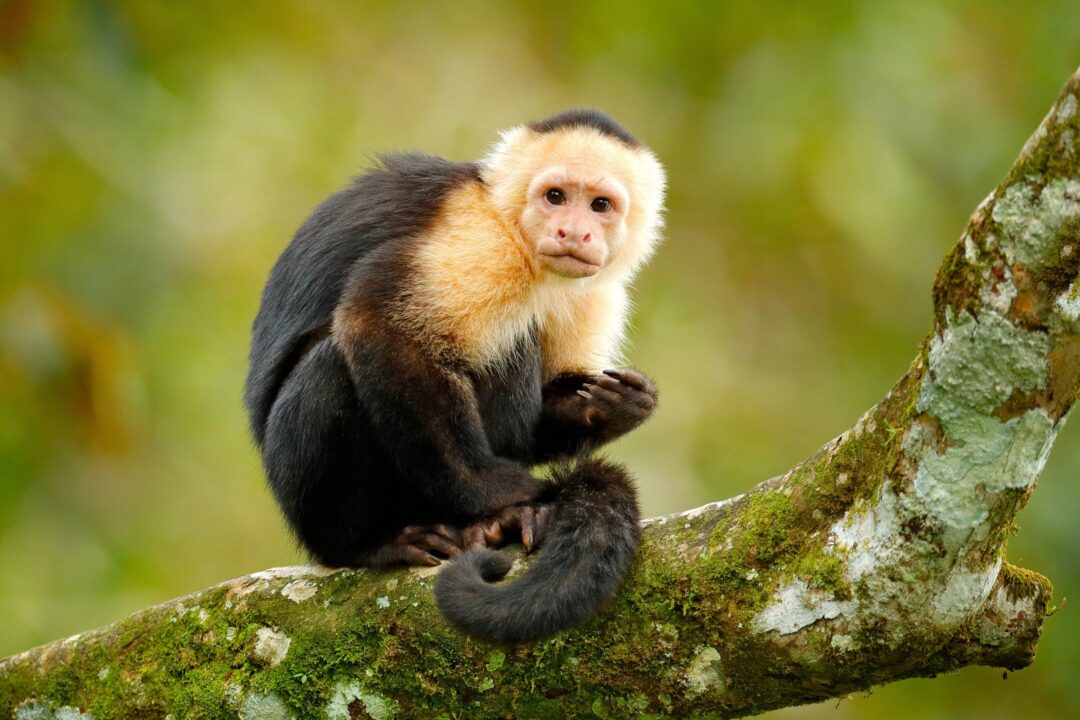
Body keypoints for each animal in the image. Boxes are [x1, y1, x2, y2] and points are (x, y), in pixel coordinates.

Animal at [244, 108, 665, 643]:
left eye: (600, 205)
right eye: (555, 197)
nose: (574, 232)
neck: (517, 236)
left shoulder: (595, 291)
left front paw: (613, 408)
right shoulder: (481, 241)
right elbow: (379, 323)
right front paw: (501, 493)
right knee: (337, 365)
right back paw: (368, 543)